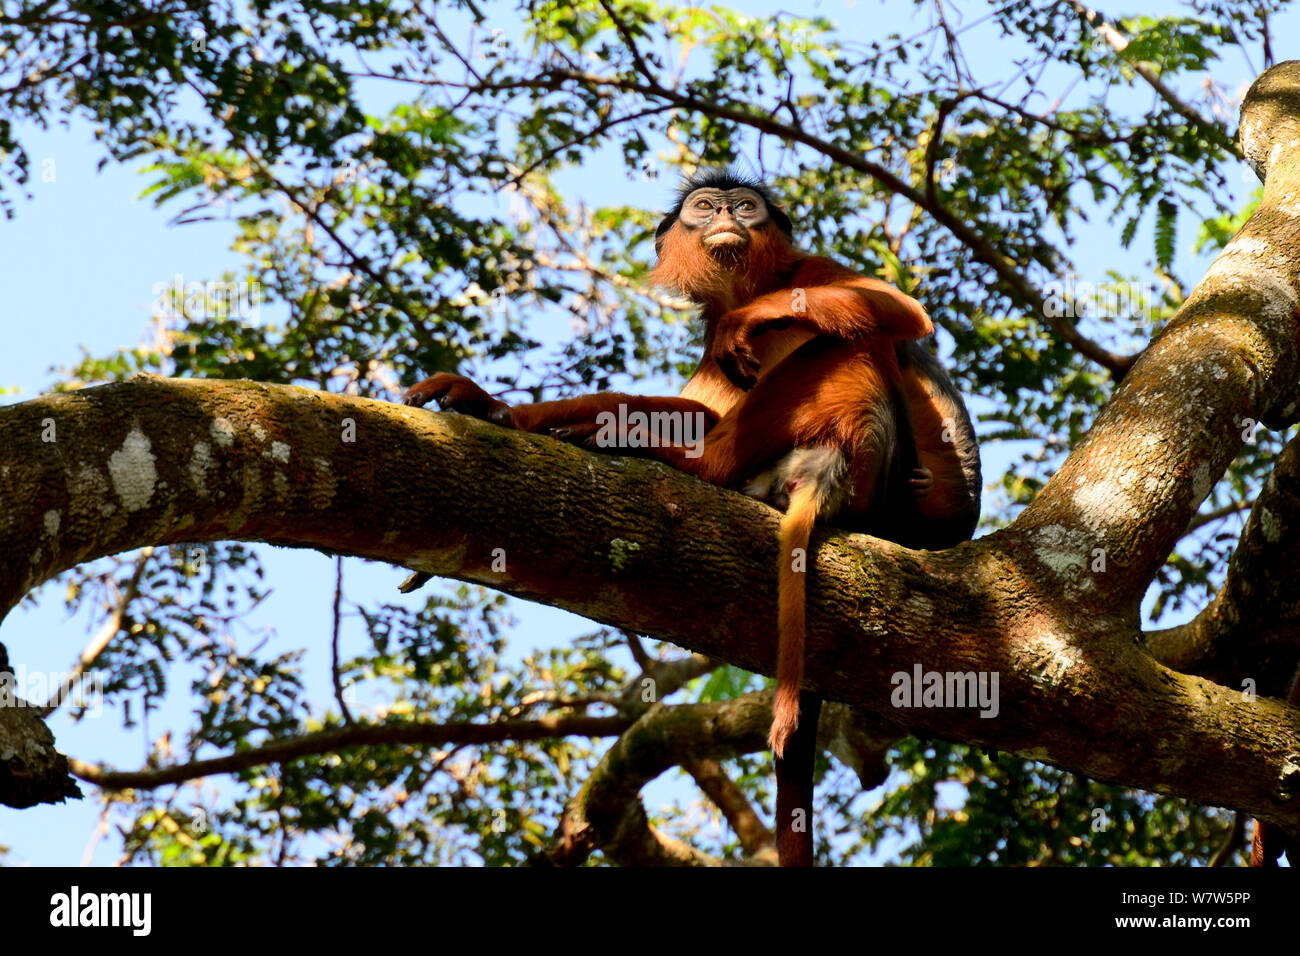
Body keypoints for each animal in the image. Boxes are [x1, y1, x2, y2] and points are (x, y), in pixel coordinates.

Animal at [401, 169, 981, 866]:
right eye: (707, 208)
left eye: (745, 208)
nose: (728, 214)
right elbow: (697, 402)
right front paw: (497, 408)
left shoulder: (808, 270)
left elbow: (900, 310)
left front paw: (745, 320)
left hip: (874, 467)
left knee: (853, 340)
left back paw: (685, 460)